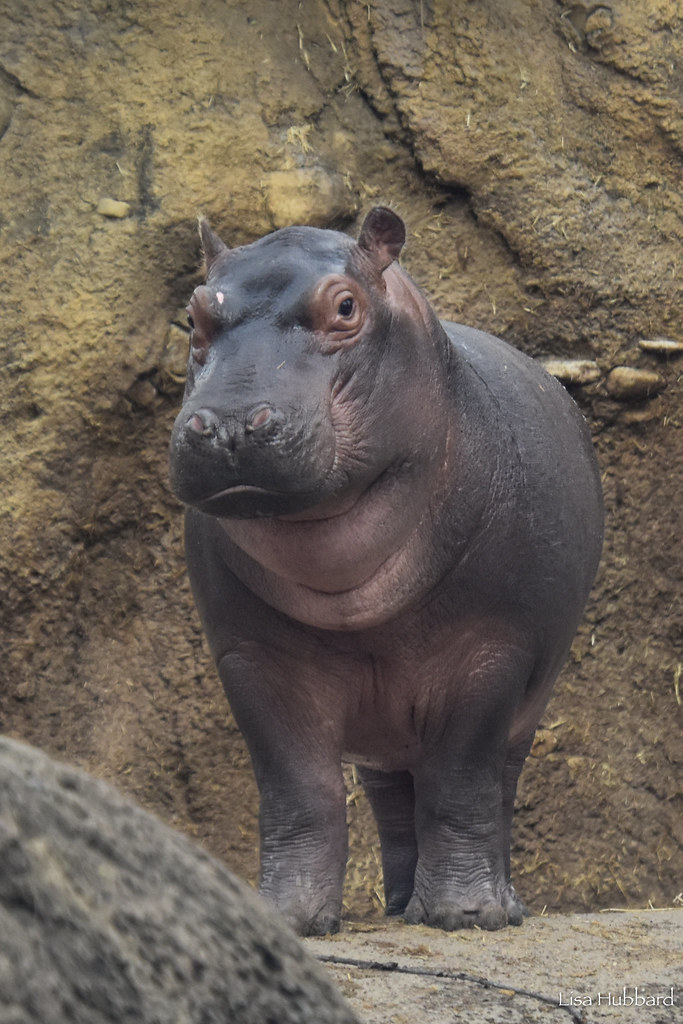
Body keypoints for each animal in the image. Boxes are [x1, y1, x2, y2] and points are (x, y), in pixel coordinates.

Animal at [169, 206, 603, 937]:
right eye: (194, 315)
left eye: (346, 305)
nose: (226, 423)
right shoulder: (250, 658)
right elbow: (298, 794)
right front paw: (289, 918)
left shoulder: (491, 653)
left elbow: (460, 784)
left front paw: (466, 915)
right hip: (384, 731)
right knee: (395, 802)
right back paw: (402, 907)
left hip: (528, 696)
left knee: (494, 788)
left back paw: (500, 906)